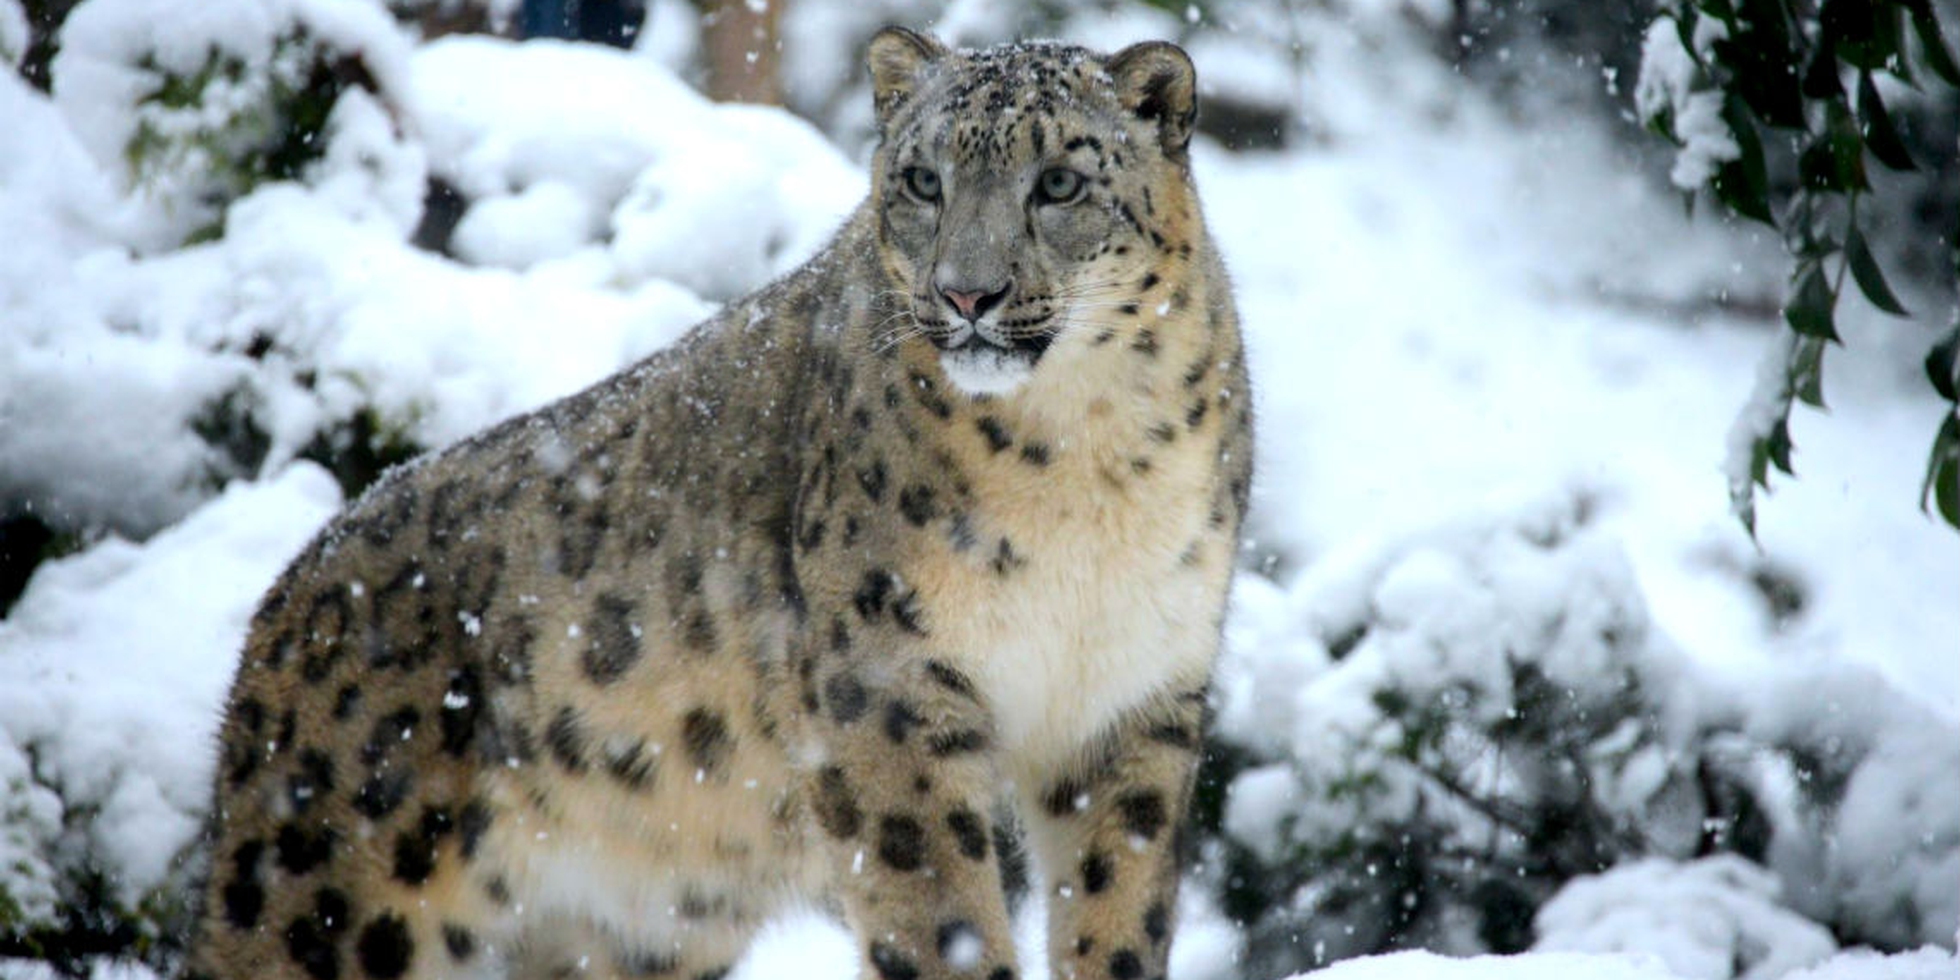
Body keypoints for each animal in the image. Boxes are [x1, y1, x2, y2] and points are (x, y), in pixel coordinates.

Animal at [184, 26, 1251, 980]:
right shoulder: (889, 689)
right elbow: (939, 916)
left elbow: (1119, 909)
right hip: (322, 891)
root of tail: (280, 605)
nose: (967, 294)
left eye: (1061, 182)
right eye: (922, 182)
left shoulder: (1136, 695)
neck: (1086, 461)